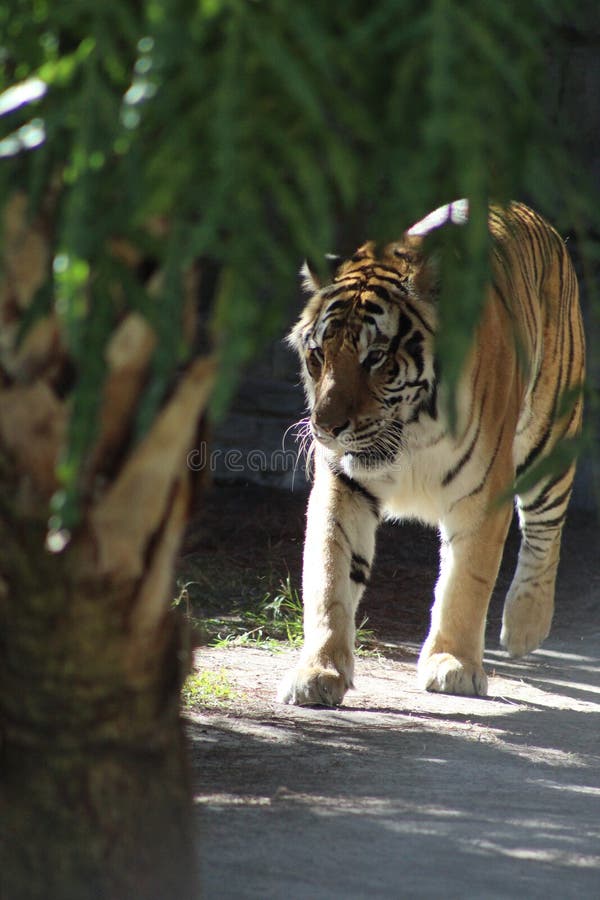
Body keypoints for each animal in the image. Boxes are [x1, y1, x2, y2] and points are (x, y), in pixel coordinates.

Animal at [278, 200, 585, 706]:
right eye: (319, 354)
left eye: (376, 358)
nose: (326, 427)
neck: (410, 436)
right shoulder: (344, 485)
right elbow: (328, 576)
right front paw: (318, 671)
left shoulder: (484, 495)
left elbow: (466, 582)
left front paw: (454, 665)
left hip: (549, 437)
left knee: (548, 526)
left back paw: (525, 626)